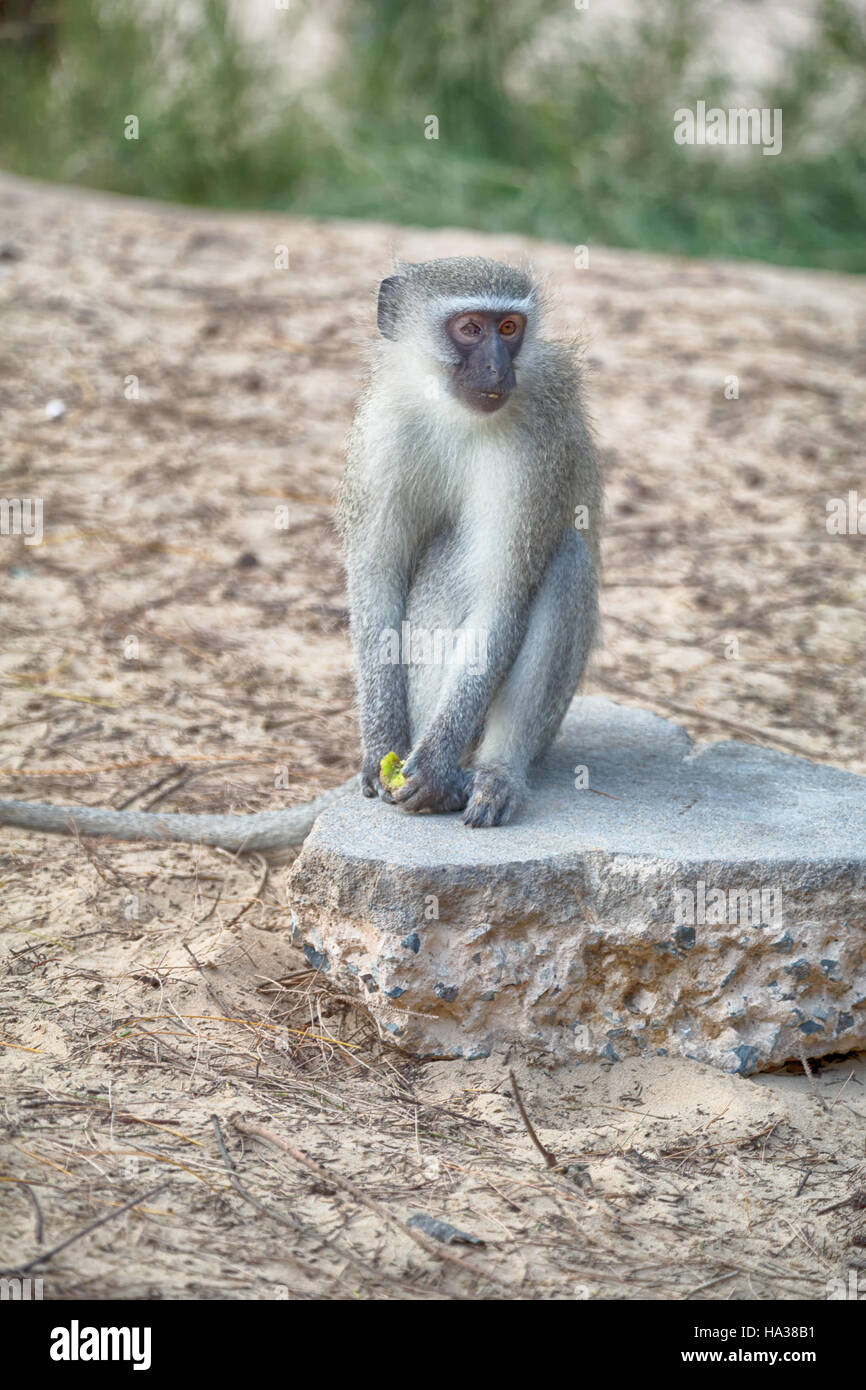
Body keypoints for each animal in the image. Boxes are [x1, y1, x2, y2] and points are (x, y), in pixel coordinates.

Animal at [0, 256, 600, 850]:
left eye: (510, 328)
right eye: (471, 329)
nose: (498, 370)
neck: (450, 408)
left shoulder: (537, 443)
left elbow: (502, 595)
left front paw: (432, 763)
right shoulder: (382, 427)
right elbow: (376, 575)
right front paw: (380, 742)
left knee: (564, 557)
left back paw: (494, 772)